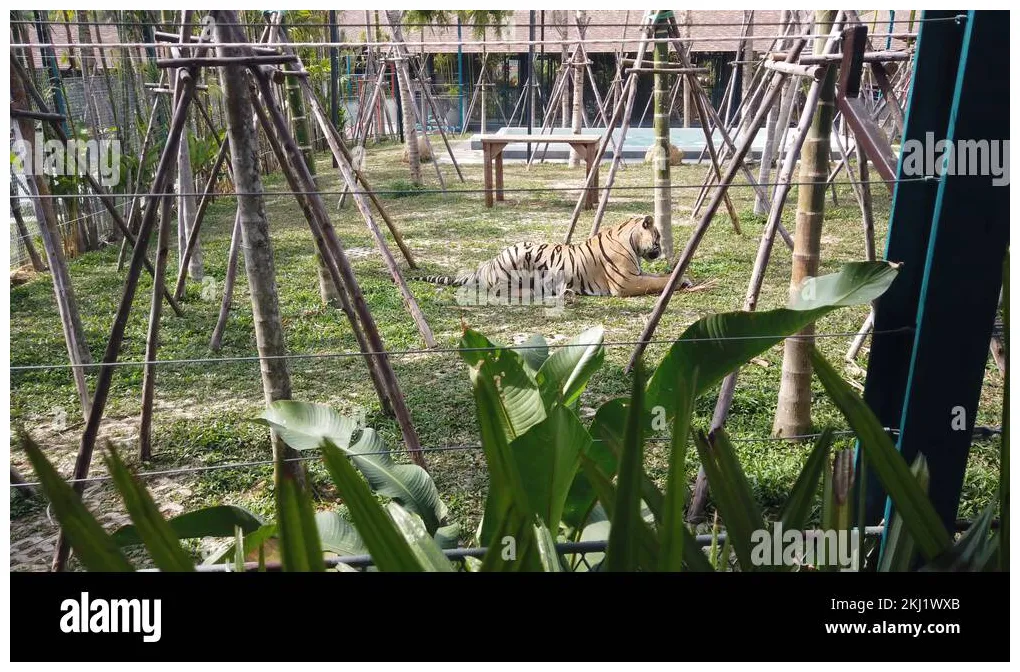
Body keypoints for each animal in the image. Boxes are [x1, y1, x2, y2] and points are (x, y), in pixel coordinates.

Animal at [413, 215, 696, 298]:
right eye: (657, 237)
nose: (660, 251)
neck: (631, 240)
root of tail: (485, 265)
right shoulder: (625, 282)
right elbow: (655, 282)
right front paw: (679, 281)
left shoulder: (637, 273)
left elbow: (657, 276)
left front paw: (681, 277)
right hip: (518, 257)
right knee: (499, 291)